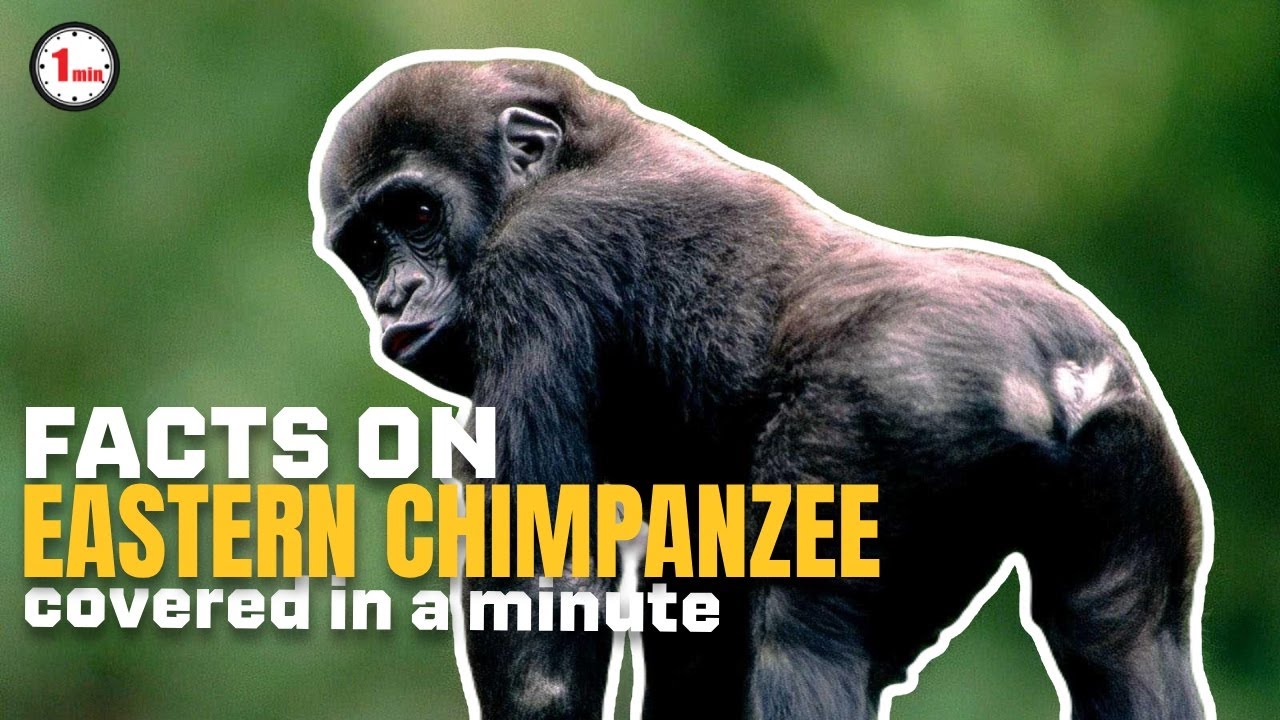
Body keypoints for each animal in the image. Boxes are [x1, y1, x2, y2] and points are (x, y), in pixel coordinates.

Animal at [314, 56, 1210, 720]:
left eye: (418, 216)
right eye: (367, 251)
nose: (395, 298)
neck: (579, 151)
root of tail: (1057, 370)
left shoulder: (536, 259)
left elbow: (545, 601)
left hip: (893, 405)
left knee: (807, 641)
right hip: (1128, 443)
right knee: (1123, 638)